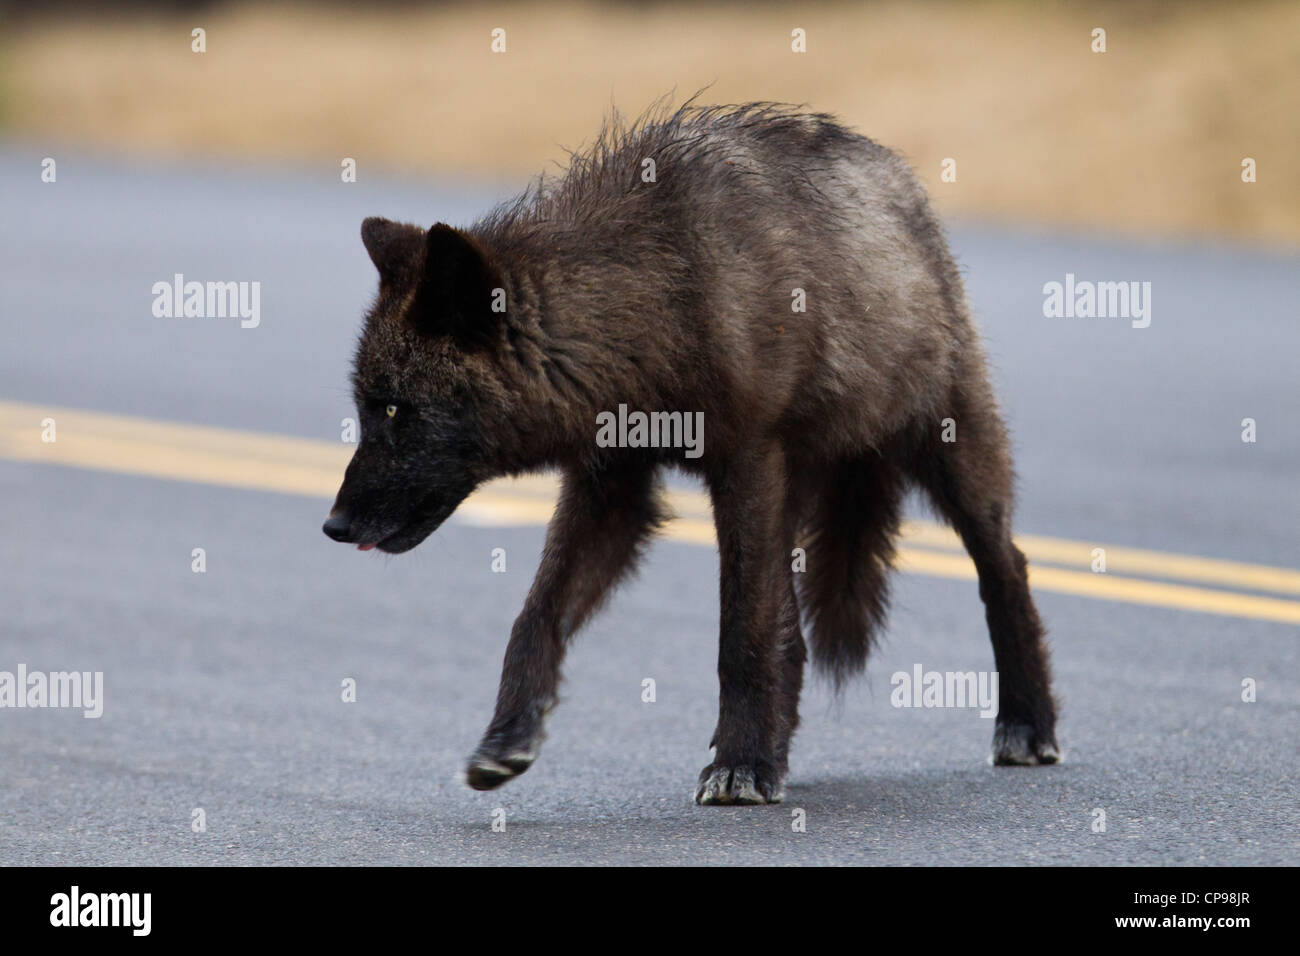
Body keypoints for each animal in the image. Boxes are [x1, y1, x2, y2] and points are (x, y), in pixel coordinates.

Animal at [323, 101, 1060, 805]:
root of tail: (902, 183)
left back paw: (1027, 727)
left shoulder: (745, 465)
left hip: (949, 457)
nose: (333, 525)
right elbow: (535, 617)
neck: (657, 301)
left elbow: (741, 636)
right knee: (795, 636)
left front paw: (740, 768)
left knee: (1007, 569)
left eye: (394, 409)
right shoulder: (610, 488)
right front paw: (507, 737)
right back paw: (781, 756)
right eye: (366, 408)